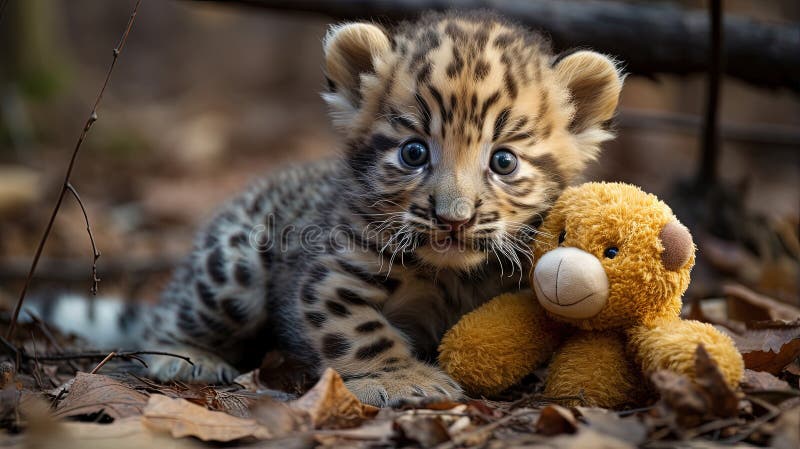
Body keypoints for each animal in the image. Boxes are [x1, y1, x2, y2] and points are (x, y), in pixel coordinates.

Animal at [33, 11, 623, 407]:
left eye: (503, 161)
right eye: (413, 153)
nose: (452, 218)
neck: (453, 277)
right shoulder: (334, 274)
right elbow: (358, 330)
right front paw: (403, 378)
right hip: (232, 268)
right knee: (164, 316)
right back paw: (186, 356)